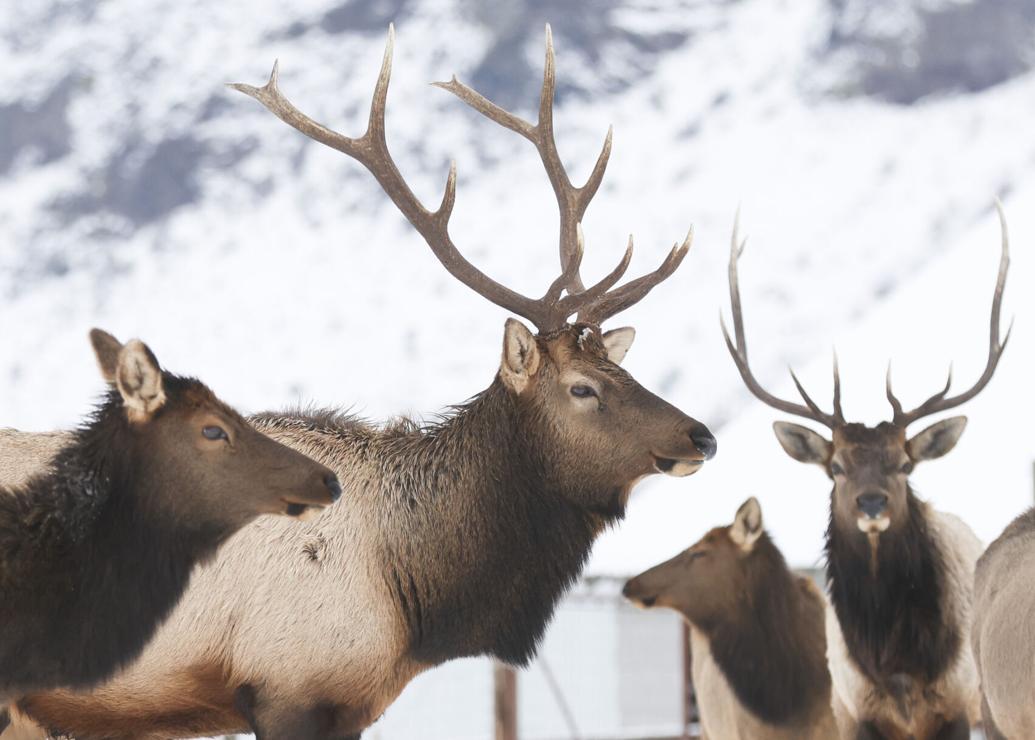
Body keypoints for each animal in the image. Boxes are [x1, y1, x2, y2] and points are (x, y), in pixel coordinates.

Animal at [719, 206, 1010, 739]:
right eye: (835, 467)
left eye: (904, 464)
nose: (871, 502)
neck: (895, 664)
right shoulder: (857, 712)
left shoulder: (958, 704)